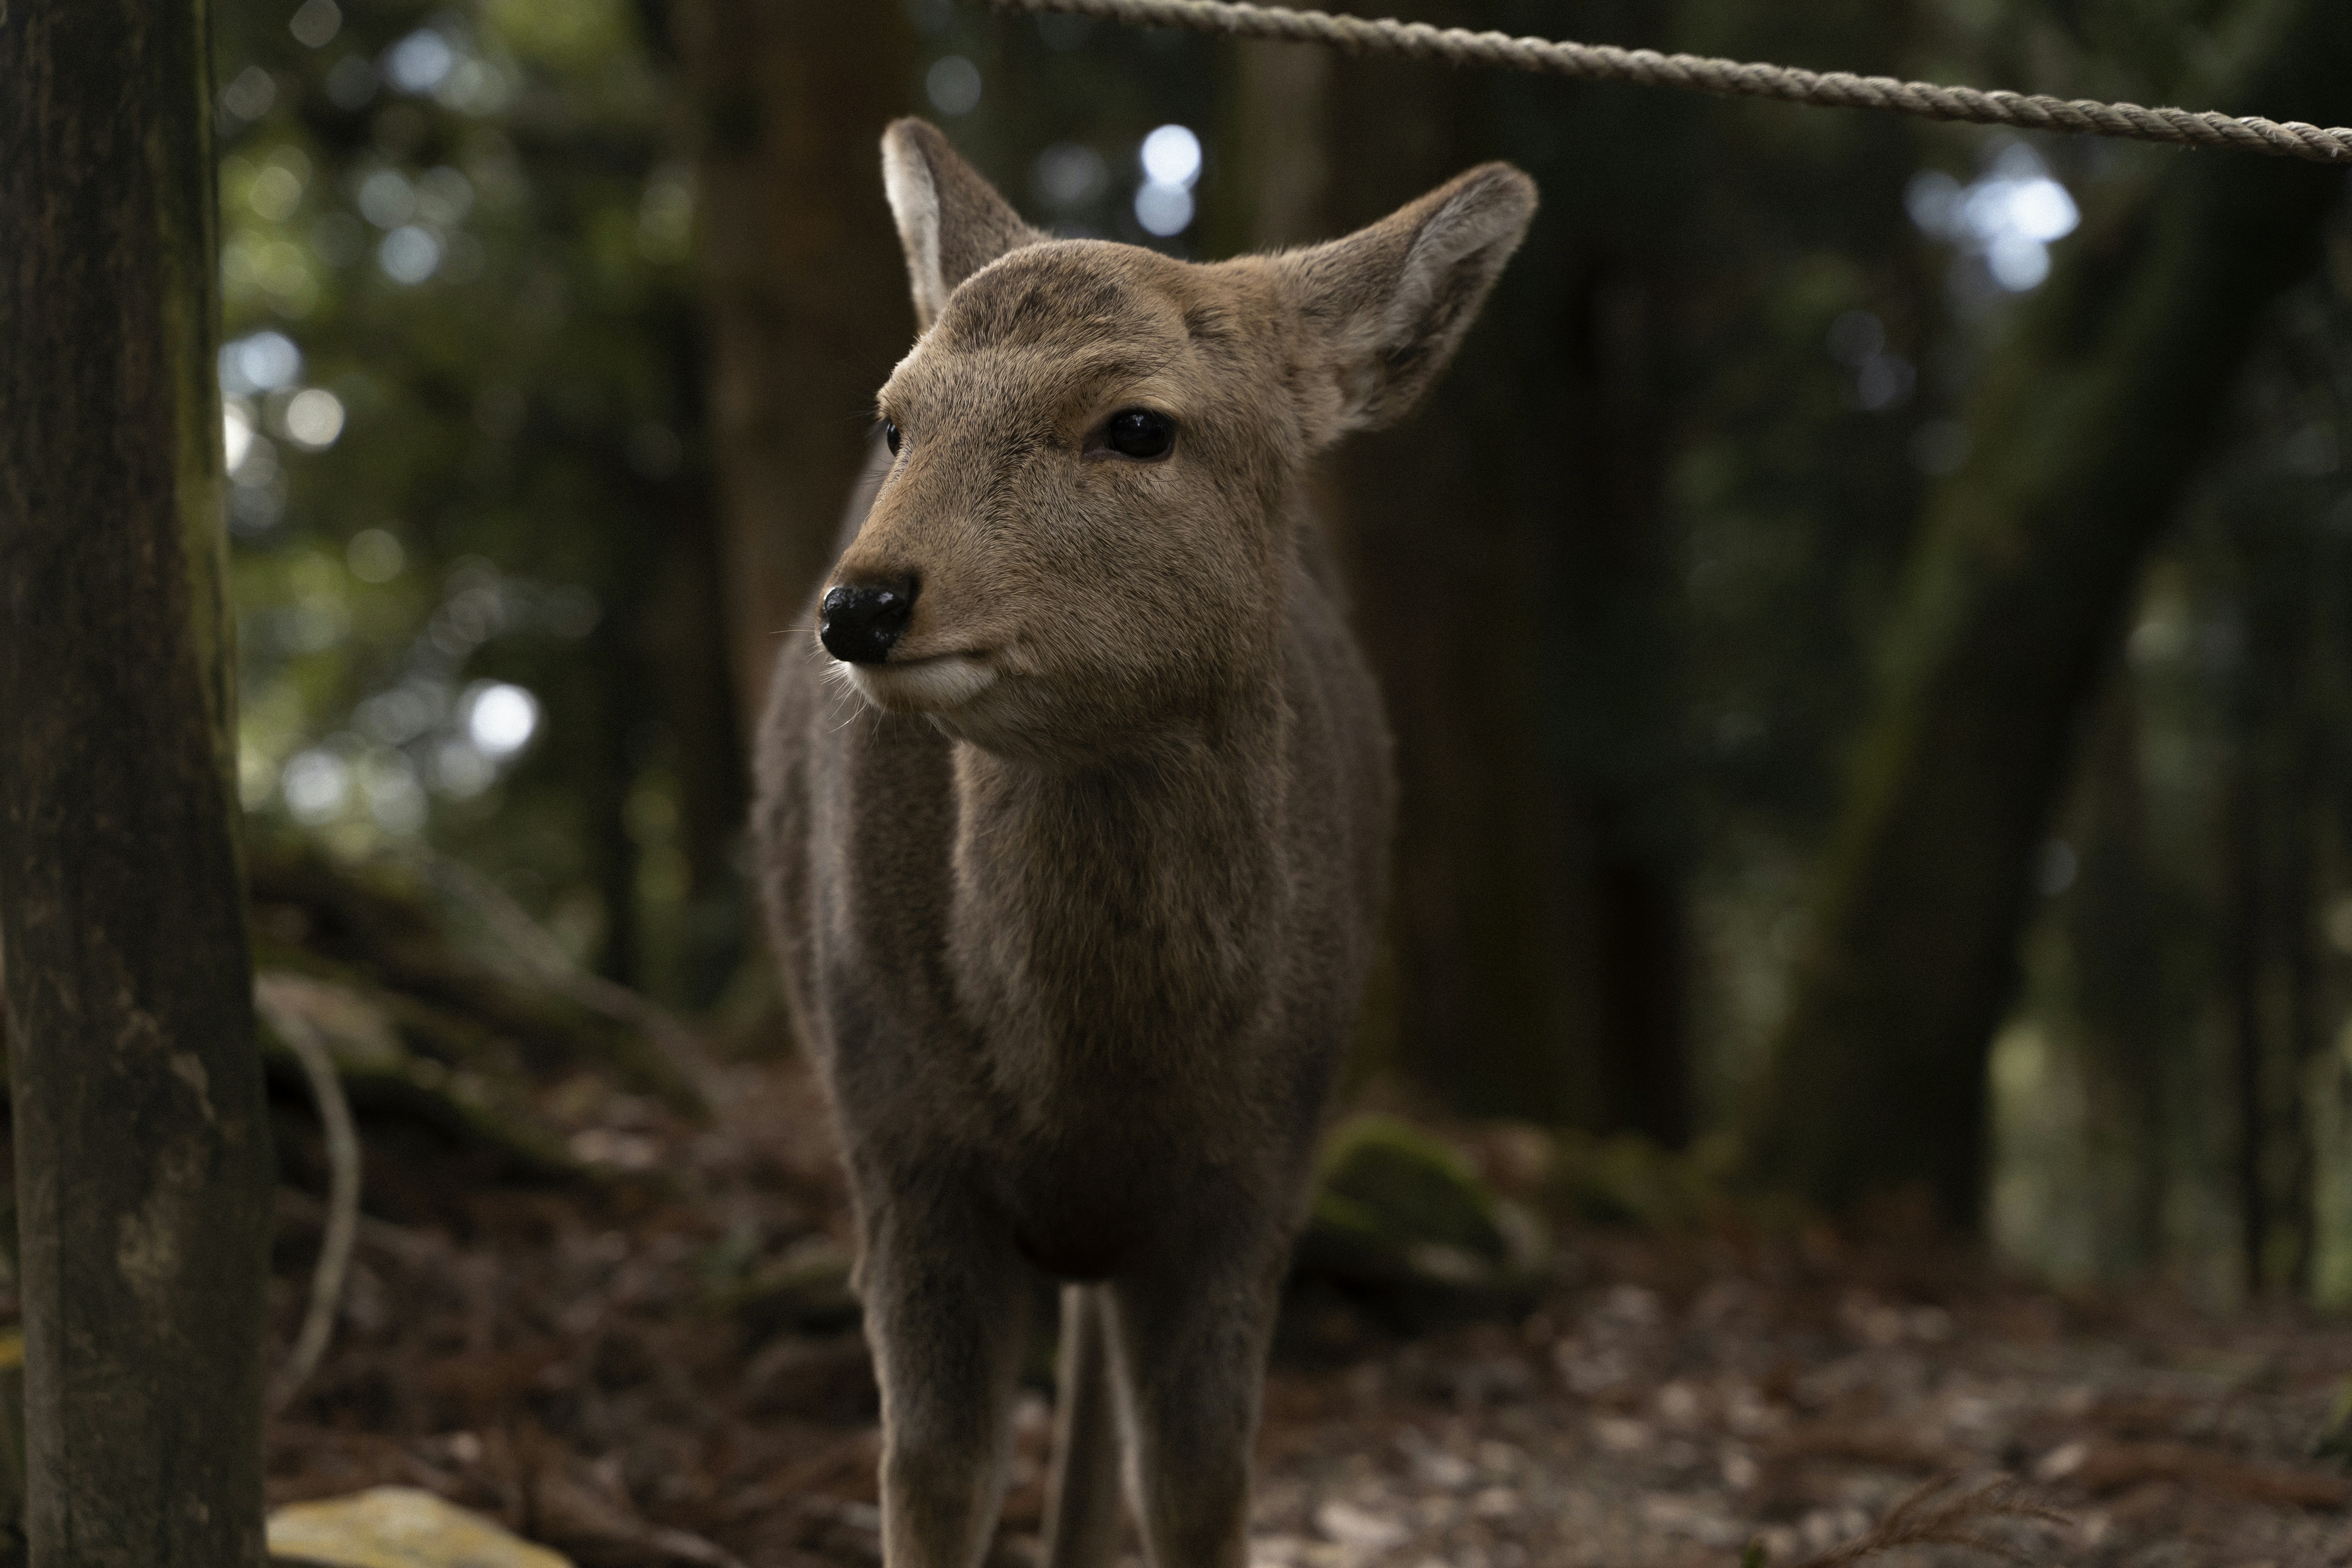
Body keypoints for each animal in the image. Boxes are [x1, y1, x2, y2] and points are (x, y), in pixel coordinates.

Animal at [753, 117, 1534, 1568]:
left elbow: (1201, 1485)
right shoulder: (898, 1150)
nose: (862, 605)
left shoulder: (1258, 1177)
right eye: (897, 421)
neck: (1093, 1081)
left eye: (1137, 425)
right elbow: (930, 1476)